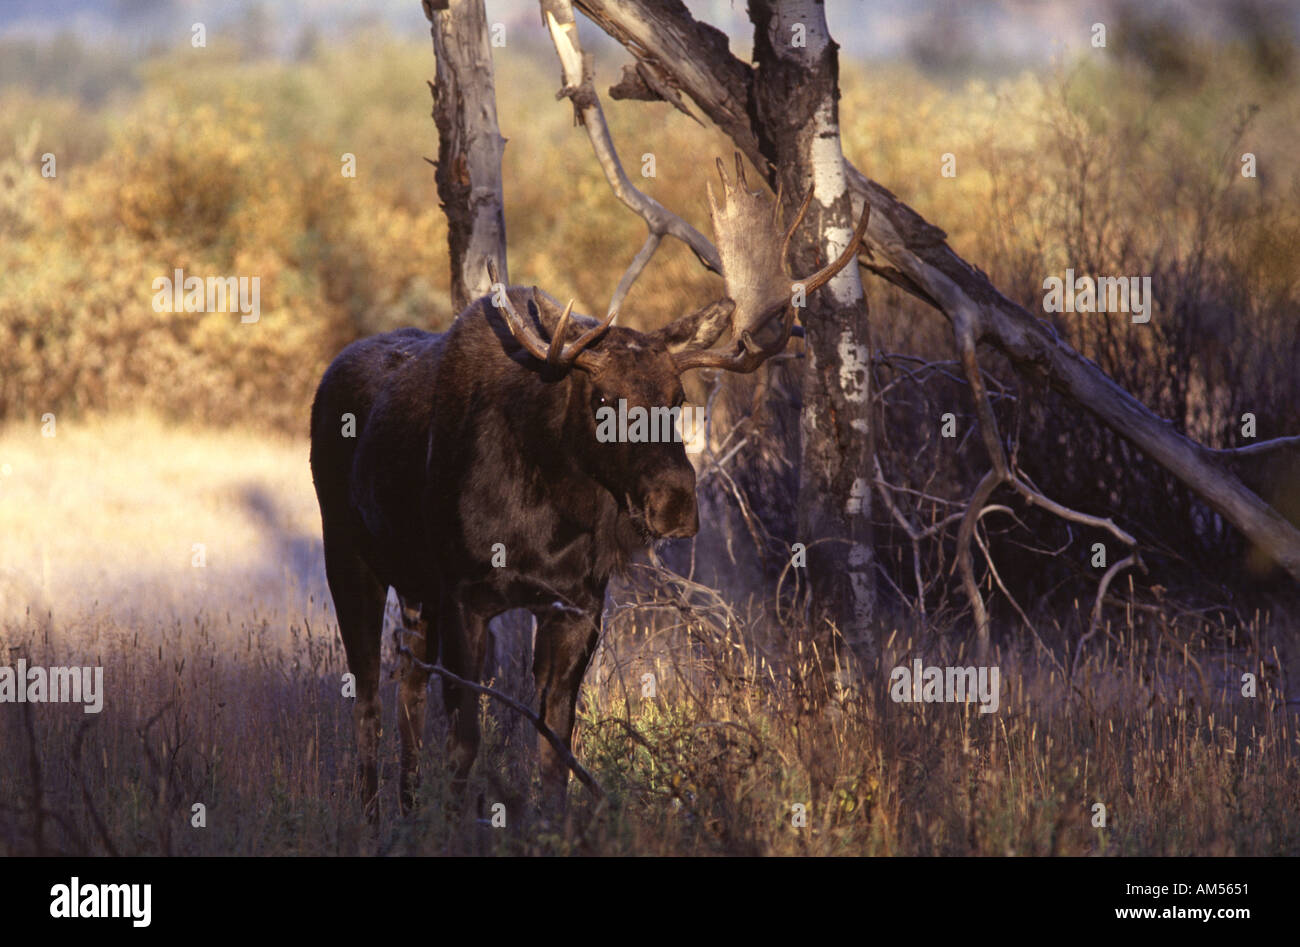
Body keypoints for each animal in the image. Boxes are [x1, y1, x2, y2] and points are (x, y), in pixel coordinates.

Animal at [308, 155, 868, 815]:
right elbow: (467, 740)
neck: (551, 519)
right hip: (349, 557)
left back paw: (407, 805)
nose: (674, 502)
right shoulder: (465, 594)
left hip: (415, 585)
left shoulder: (579, 604)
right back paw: (376, 816)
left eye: (677, 398)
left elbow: (556, 742)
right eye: (603, 399)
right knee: (369, 695)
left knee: (409, 686)